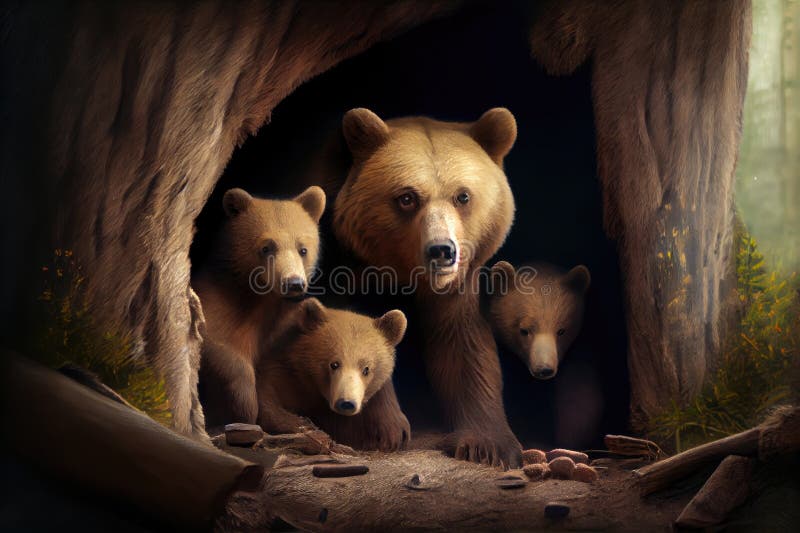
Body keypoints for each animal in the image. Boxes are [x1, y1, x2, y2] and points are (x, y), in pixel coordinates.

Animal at [193, 185, 325, 426]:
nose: (293, 283)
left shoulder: (278, 325)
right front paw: (244, 407)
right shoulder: (214, 303)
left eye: (303, 249)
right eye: (266, 247)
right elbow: (214, 344)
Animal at [256, 298, 410, 451]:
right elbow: (267, 393)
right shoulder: (286, 368)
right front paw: (302, 424)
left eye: (366, 369)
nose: (347, 403)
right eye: (334, 364)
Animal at [332, 107, 522, 467]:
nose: (442, 251)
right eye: (407, 197)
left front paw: (488, 445)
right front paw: (382, 429)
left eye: (463, 196)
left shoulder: (456, 289)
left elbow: (462, 346)